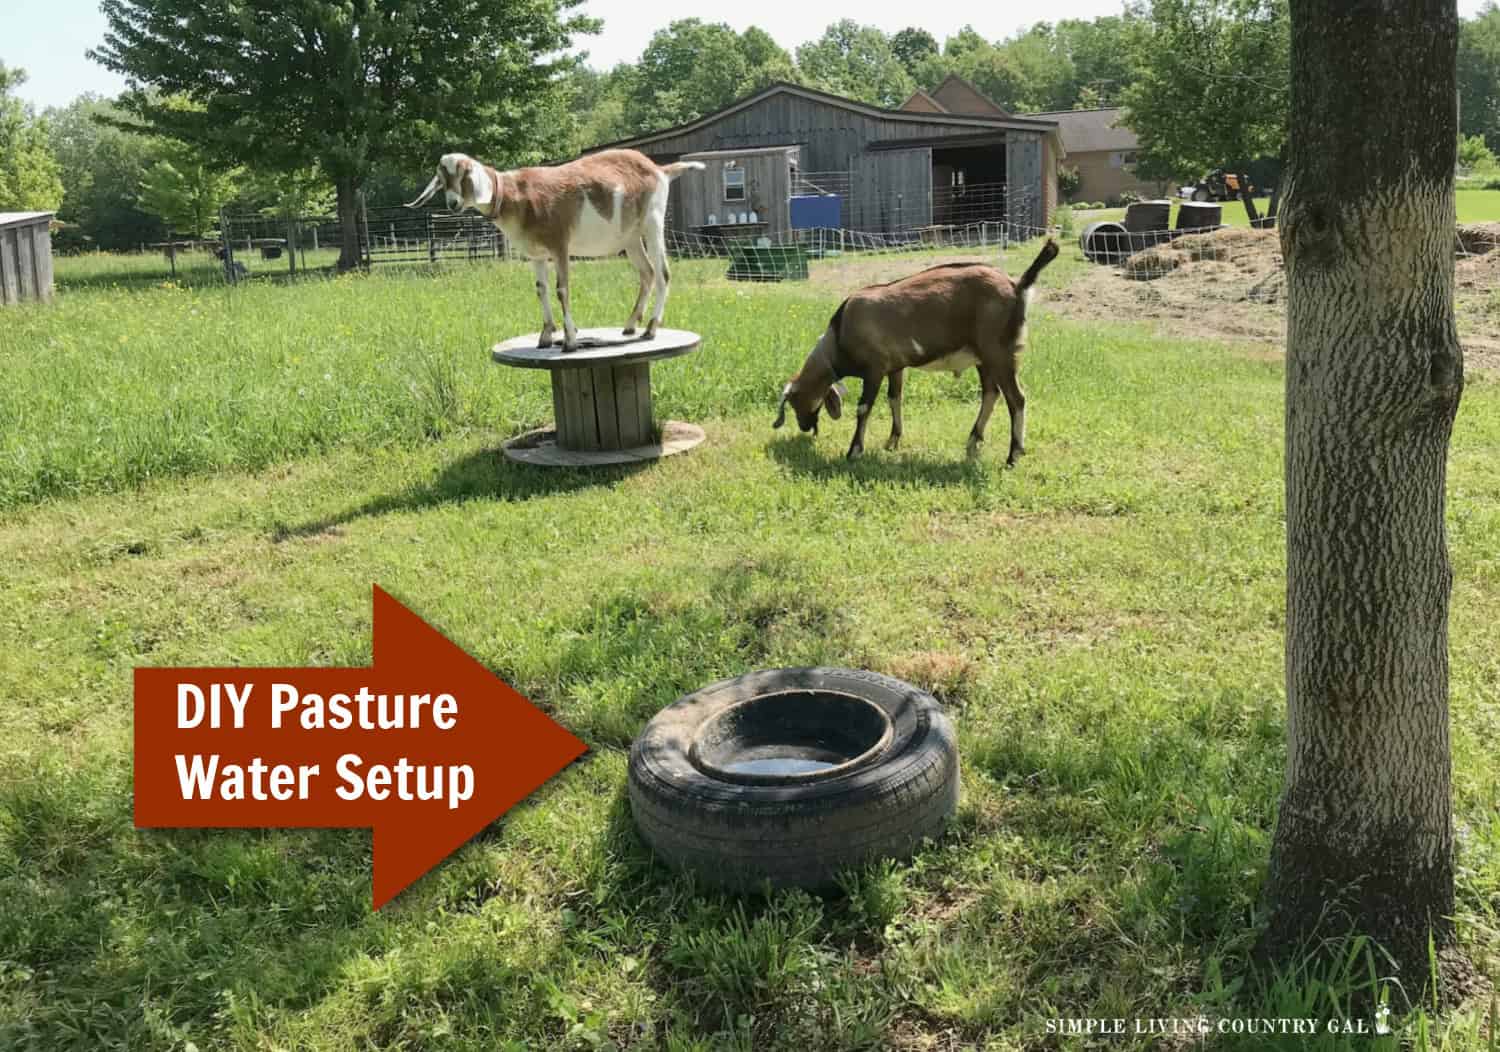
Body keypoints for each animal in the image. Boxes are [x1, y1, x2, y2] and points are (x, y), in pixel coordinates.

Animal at [407, 150, 705, 350]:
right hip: (630, 238)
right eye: (442, 178)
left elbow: (562, 289)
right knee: (647, 273)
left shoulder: (560, 245)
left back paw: (651, 329)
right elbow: (541, 289)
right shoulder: (536, 254)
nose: (453, 204)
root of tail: (660, 169)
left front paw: (570, 340)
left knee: (663, 273)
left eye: (463, 174)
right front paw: (547, 335)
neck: (517, 196)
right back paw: (631, 325)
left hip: (653, 223)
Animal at [773, 240, 1060, 464]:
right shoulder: (895, 367)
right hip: (984, 357)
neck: (840, 332)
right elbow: (894, 398)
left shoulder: (874, 369)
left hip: (1000, 352)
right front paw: (892, 442)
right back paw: (972, 442)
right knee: (991, 394)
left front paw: (854, 451)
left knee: (1016, 398)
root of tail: (1017, 285)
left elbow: (864, 408)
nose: (804, 427)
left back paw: (1013, 455)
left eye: (794, 400)